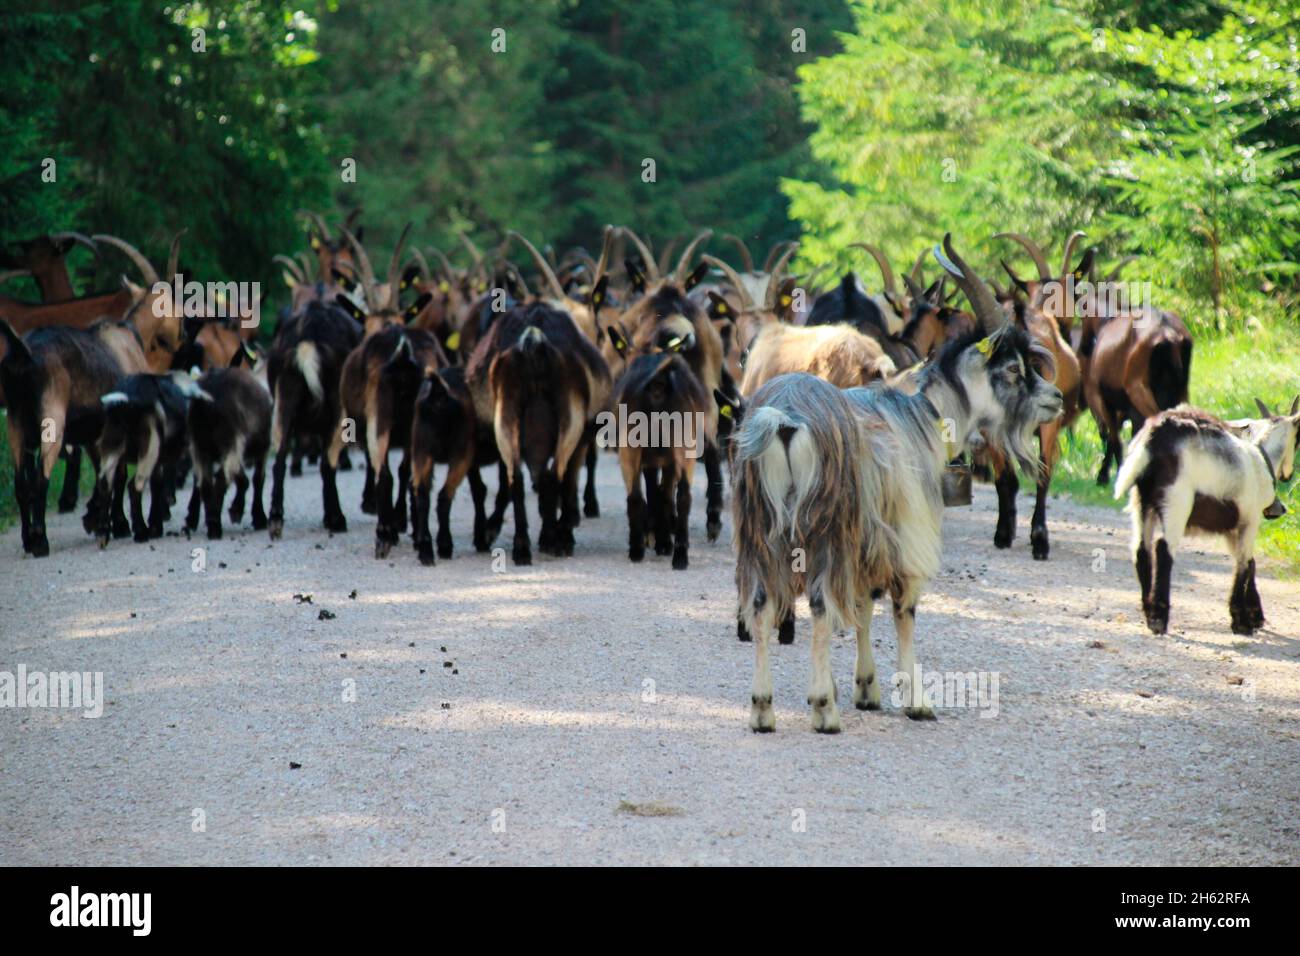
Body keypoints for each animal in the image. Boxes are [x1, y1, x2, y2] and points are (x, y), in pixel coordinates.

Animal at [727, 234, 1063, 732]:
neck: (923, 414)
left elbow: (864, 606)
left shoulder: (870, 538)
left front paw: (866, 689)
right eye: (1014, 370)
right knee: (821, 604)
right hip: (822, 529)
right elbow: (903, 610)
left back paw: (763, 709)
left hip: (759, 528)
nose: (1056, 397)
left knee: (763, 604)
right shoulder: (907, 532)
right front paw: (916, 700)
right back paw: (823, 710)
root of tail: (783, 421)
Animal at [1115, 401, 1298, 635]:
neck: (1261, 458)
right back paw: (1159, 618)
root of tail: (1155, 437)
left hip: (1142, 502)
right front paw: (1242, 622)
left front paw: (1253, 614)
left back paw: (1149, 613)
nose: (1287, 476)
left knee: (1141, 550)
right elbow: (1244, 563)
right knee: (1164, 549)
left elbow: (1248, 561)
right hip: (1177, 500)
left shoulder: (1232, 529)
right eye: (1297, 441)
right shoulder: (1250, 519)